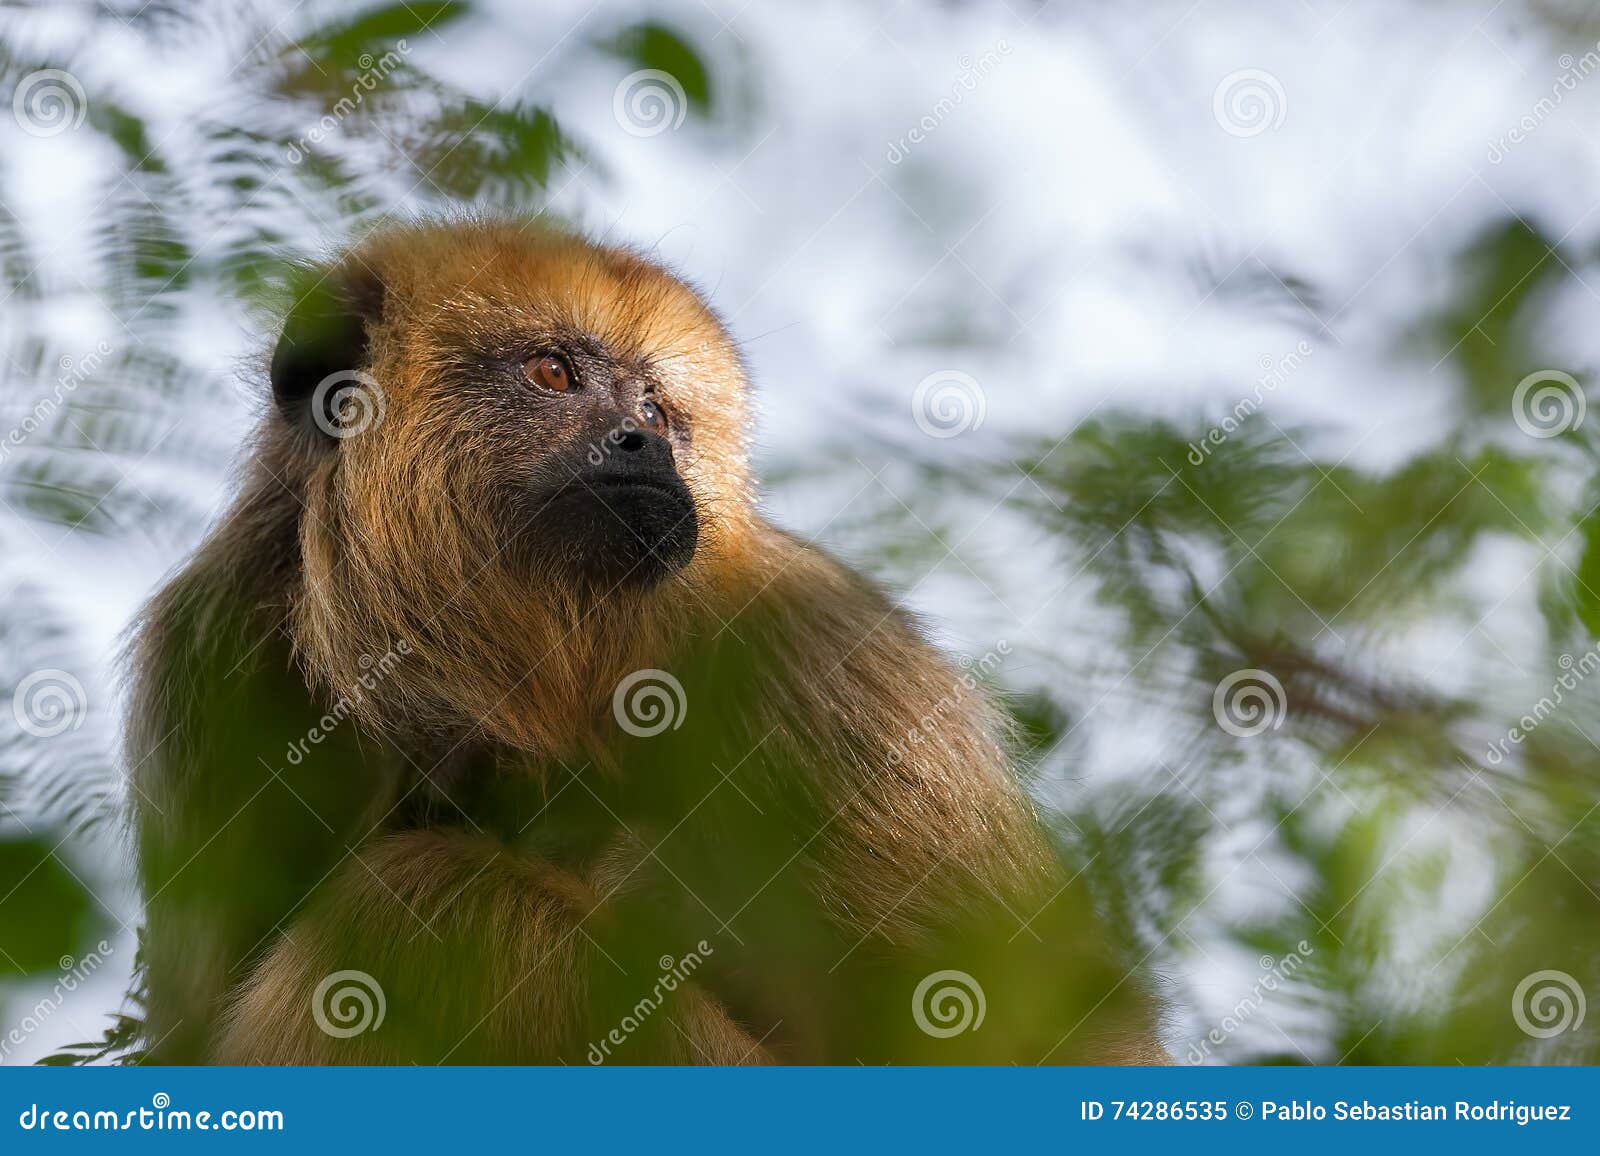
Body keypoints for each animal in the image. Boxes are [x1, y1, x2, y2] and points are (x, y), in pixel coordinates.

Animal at [126, 216, 1167, 1065]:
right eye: (554, 373)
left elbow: (1052, 1030)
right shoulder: (216, 639)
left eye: (662, 411)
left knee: (427, 909)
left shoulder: (810, 638)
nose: (643, 443)